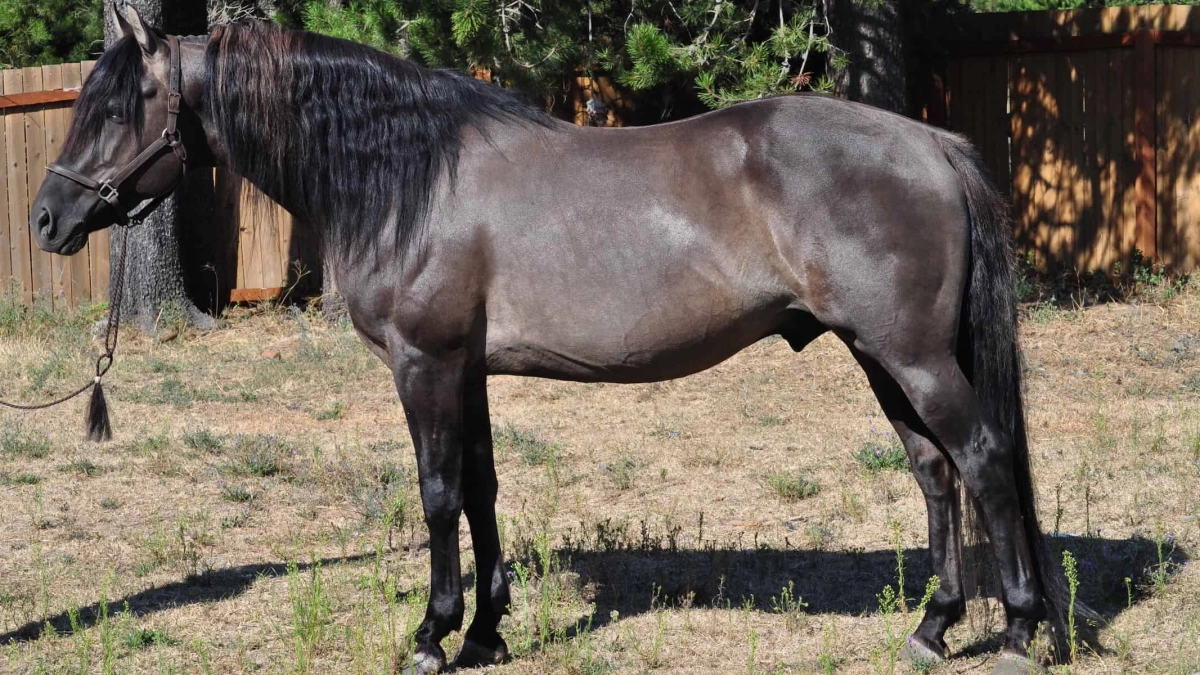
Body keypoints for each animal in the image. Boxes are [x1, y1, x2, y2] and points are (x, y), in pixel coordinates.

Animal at [30, 4, 1091, 673]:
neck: (412, 177)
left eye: (119, 107)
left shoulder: (424, 364)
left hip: (911, 353)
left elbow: (437, 493)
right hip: (880, 356)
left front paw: (433, 635)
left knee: (983, 456)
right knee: (935, 469)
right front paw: (487, 633)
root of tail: (932, 143)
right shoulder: (466, 369)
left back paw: (1016, 633)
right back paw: (932, 626)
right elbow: (483, 488)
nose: (46, 219)